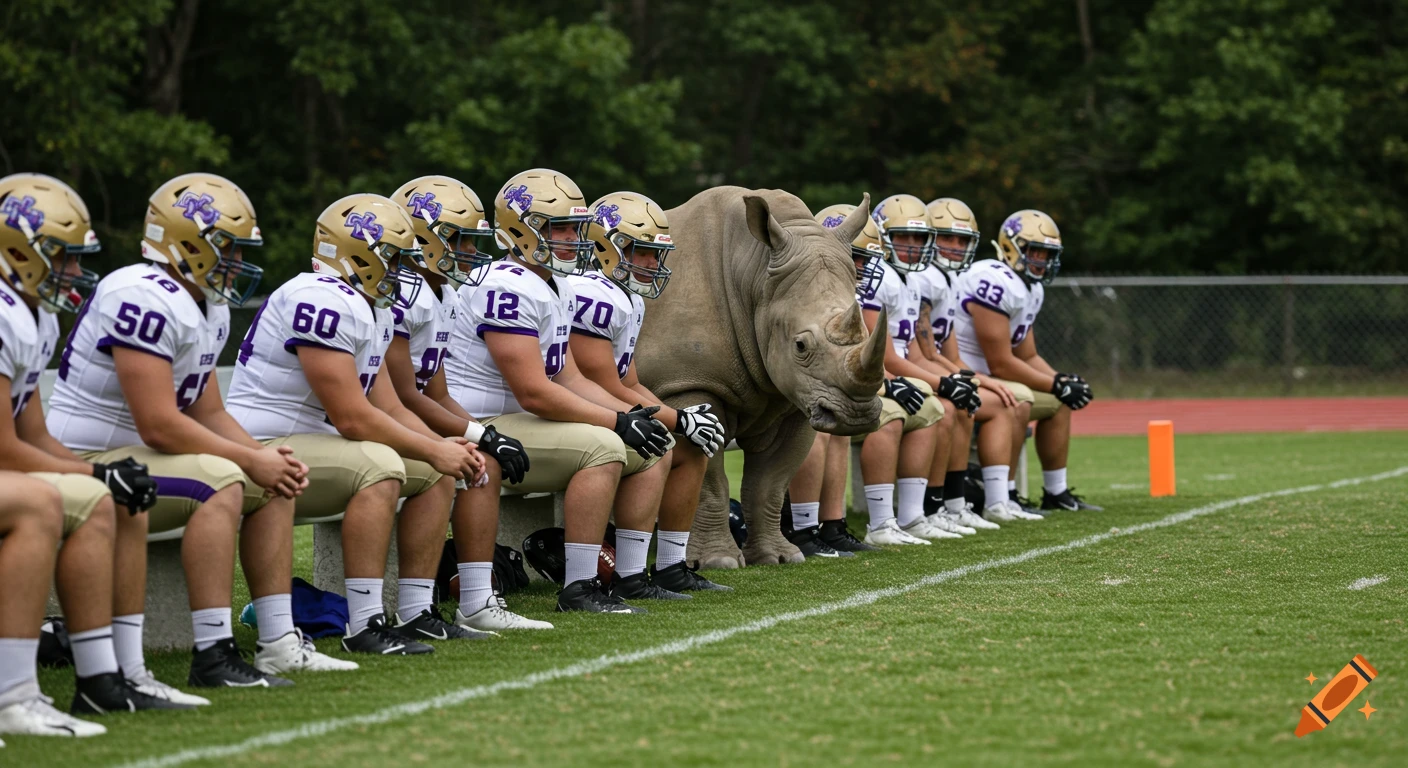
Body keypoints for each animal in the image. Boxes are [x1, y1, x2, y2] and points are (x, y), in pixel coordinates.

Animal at [635, 187, 888, 569]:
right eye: (800, 345)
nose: (855, 415)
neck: (755, 276)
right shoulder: (684, 383)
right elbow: (710, 482)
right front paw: (718, 562)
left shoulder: (797, 395)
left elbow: (770, 482)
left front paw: (779, 557)